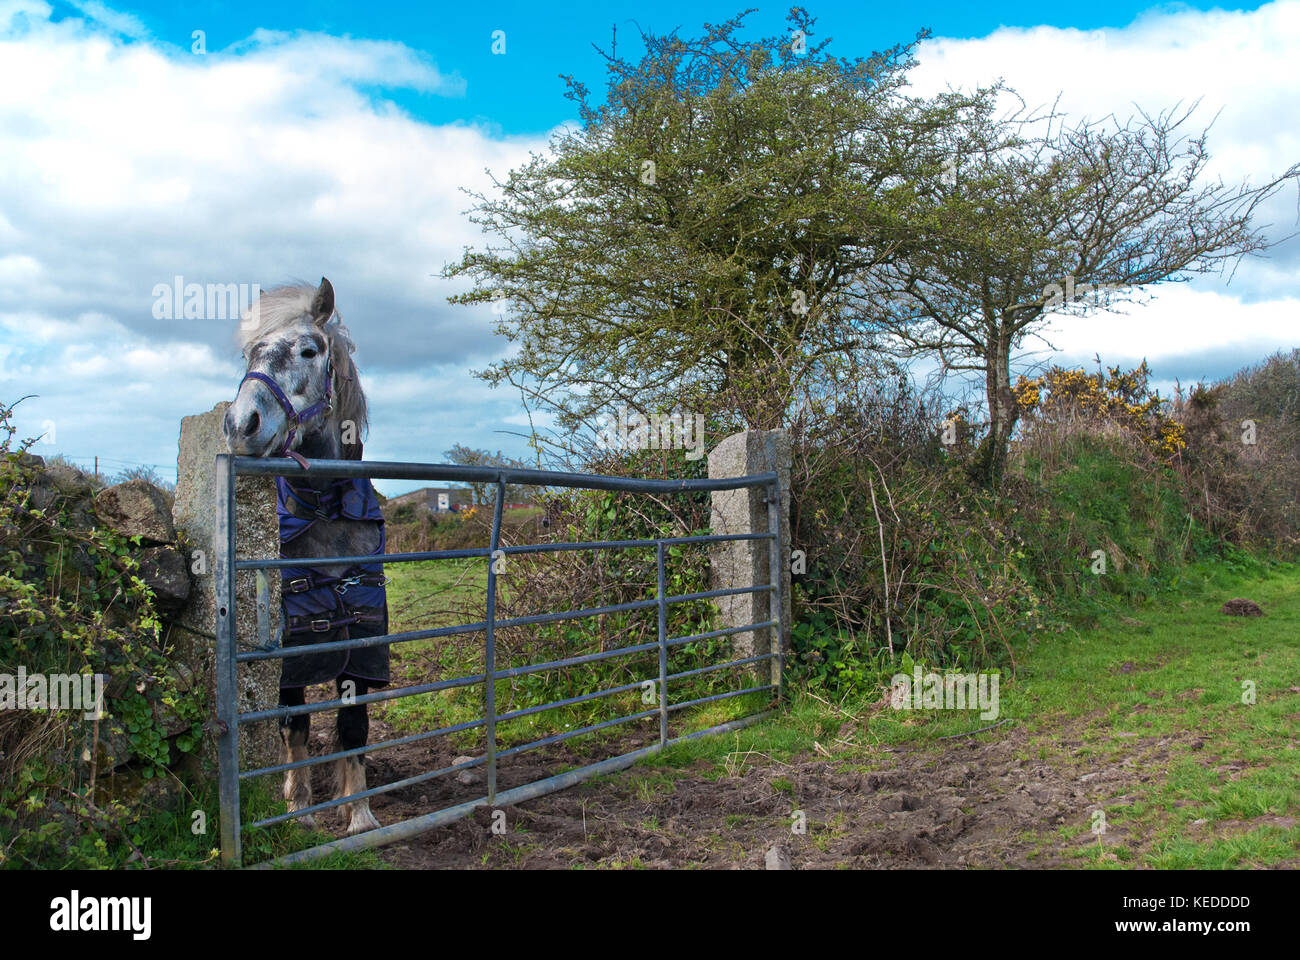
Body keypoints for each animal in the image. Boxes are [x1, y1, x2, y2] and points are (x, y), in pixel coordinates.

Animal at [222, 277, 388, 835]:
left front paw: (359, 813)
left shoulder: (361, 639)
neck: (326, 516)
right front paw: (299, 809)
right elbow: (293, 724)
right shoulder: (289, 651)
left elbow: (353, 724)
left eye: (309, 350)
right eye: (251, 354)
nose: (240, 423)